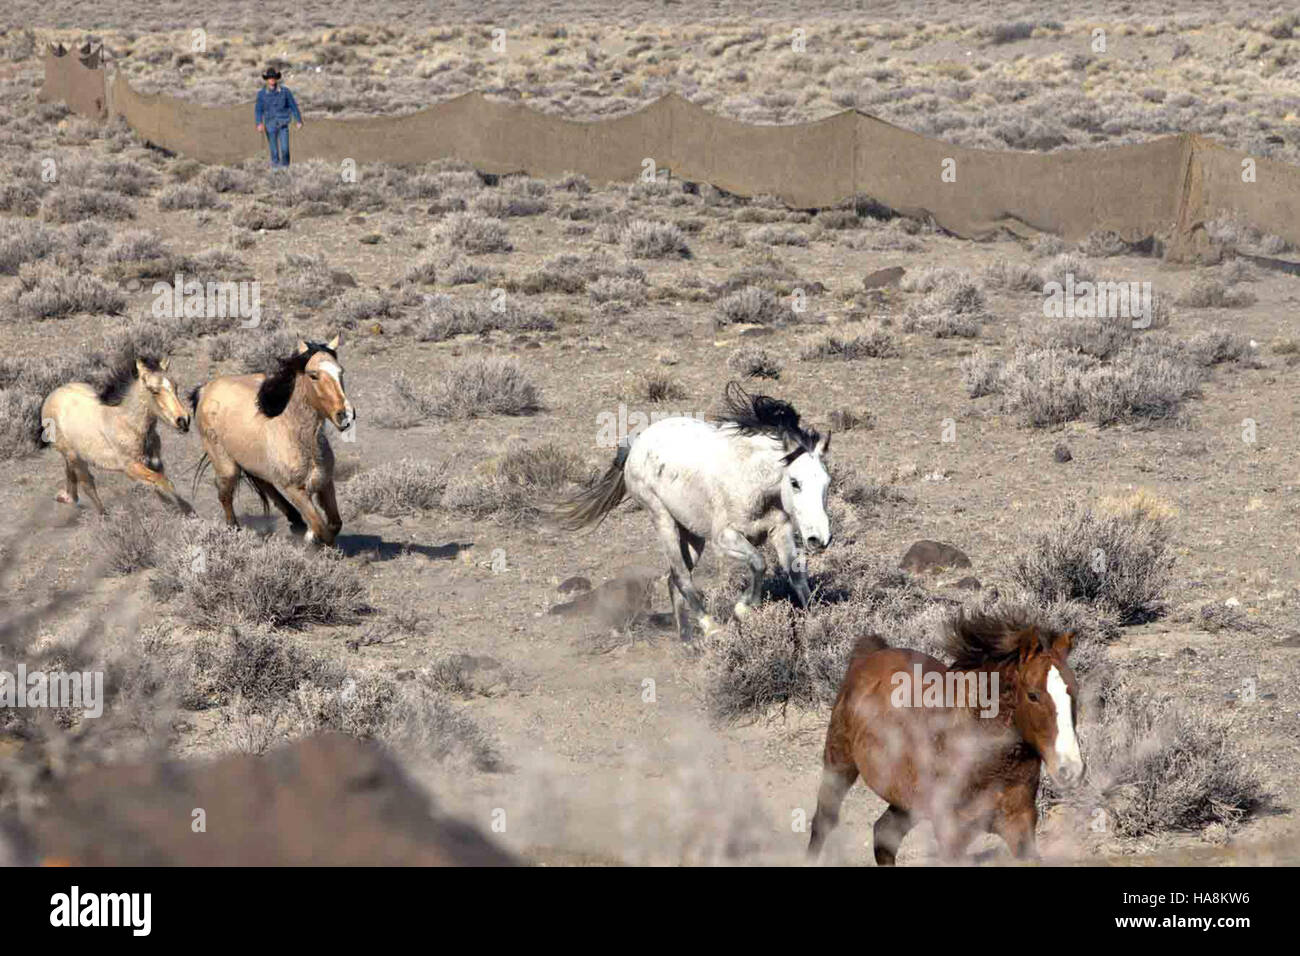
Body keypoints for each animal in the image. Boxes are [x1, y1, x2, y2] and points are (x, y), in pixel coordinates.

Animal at [38, 355, 194, 515]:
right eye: (154, 391)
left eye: (175, 387)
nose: (183, 420)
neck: (128, 424)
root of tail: (50, 398)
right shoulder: (131, 467)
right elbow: (164, 483)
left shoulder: (155, 462)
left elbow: (162, 485)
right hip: (75, 457)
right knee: (88, 486)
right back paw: (103, 515)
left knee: (71, 475)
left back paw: (66, 497)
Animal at [189, 335, 355, 546]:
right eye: (313, 375)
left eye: (340, 371)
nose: (345, 415)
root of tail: (205, 389)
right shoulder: (295, 490)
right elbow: (321, 528)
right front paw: (311, 537)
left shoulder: (325, 482)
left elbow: (334, 524)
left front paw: (308, 532)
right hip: (227, 466)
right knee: (225, 493)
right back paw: (234, 530)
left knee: (263, 483)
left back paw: (295, 521)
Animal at [555, 381, 832, 640]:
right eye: (795, 482)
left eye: (826, 482)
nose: (819, 539)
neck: (750, 479)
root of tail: (637, 443)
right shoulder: (725, 538)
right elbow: (758, 562)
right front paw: (743, 608)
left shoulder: (780, 530)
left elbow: (796, 573)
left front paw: (815, 623)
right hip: (662, 519)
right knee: (680, 576)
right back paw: (710, 628)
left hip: (692, 534)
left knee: (673, 578)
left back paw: (687, 639)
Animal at [807, 609, 1084, 865]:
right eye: (1033, 695)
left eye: (1075, 692)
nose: (1071, 769)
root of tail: (869, 655)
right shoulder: (952, 834)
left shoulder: (1020, 825)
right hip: (839, 763)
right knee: (824, 820)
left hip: (907, 801)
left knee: (883, 834)